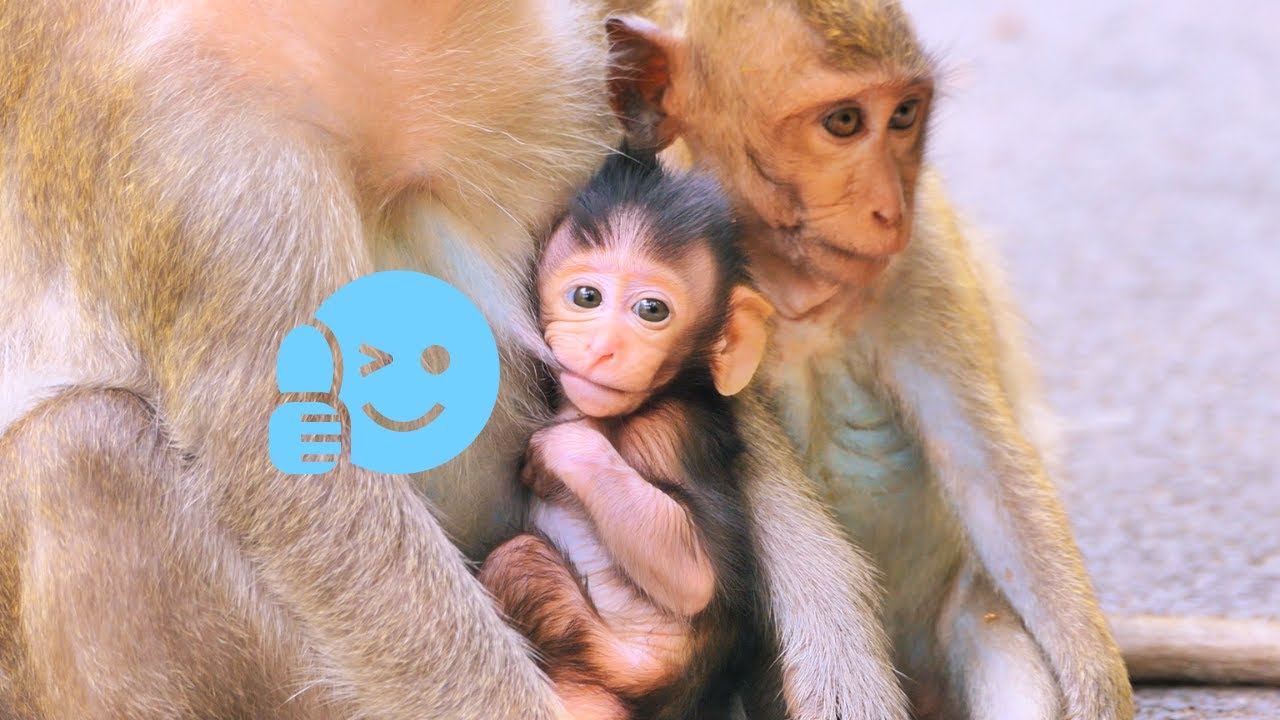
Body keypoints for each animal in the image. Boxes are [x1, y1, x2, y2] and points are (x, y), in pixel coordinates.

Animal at [479, 149, 771, 720]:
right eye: (586, 297)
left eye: (651, 310)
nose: (604, 346)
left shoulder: (666, 431)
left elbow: (693, 575)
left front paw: (560, 451)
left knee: (519, 563)